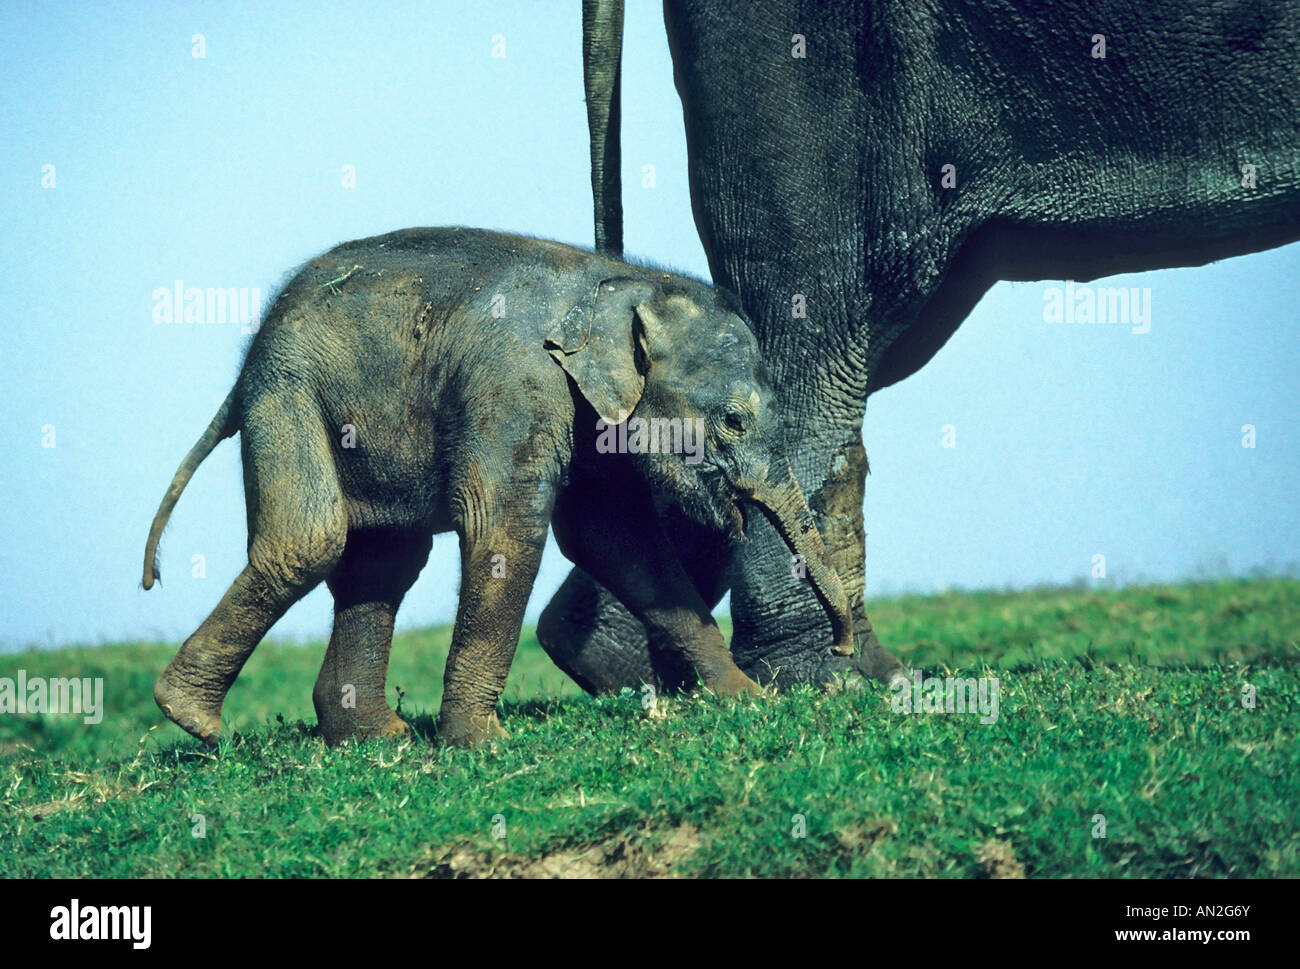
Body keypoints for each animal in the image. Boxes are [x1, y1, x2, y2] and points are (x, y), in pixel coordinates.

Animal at [141, 226, 855, 747]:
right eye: (733, 421)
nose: (844, 649)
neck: (621, 283)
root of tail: (246, 362)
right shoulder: (515, 386)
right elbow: (506, 528)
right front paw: (481, 746)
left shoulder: (592, 420)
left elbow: (619, 543)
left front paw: (748, 701)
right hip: (287, 394)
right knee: (310, 541)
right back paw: (195, 721)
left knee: (383, 560)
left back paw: (379, 740)